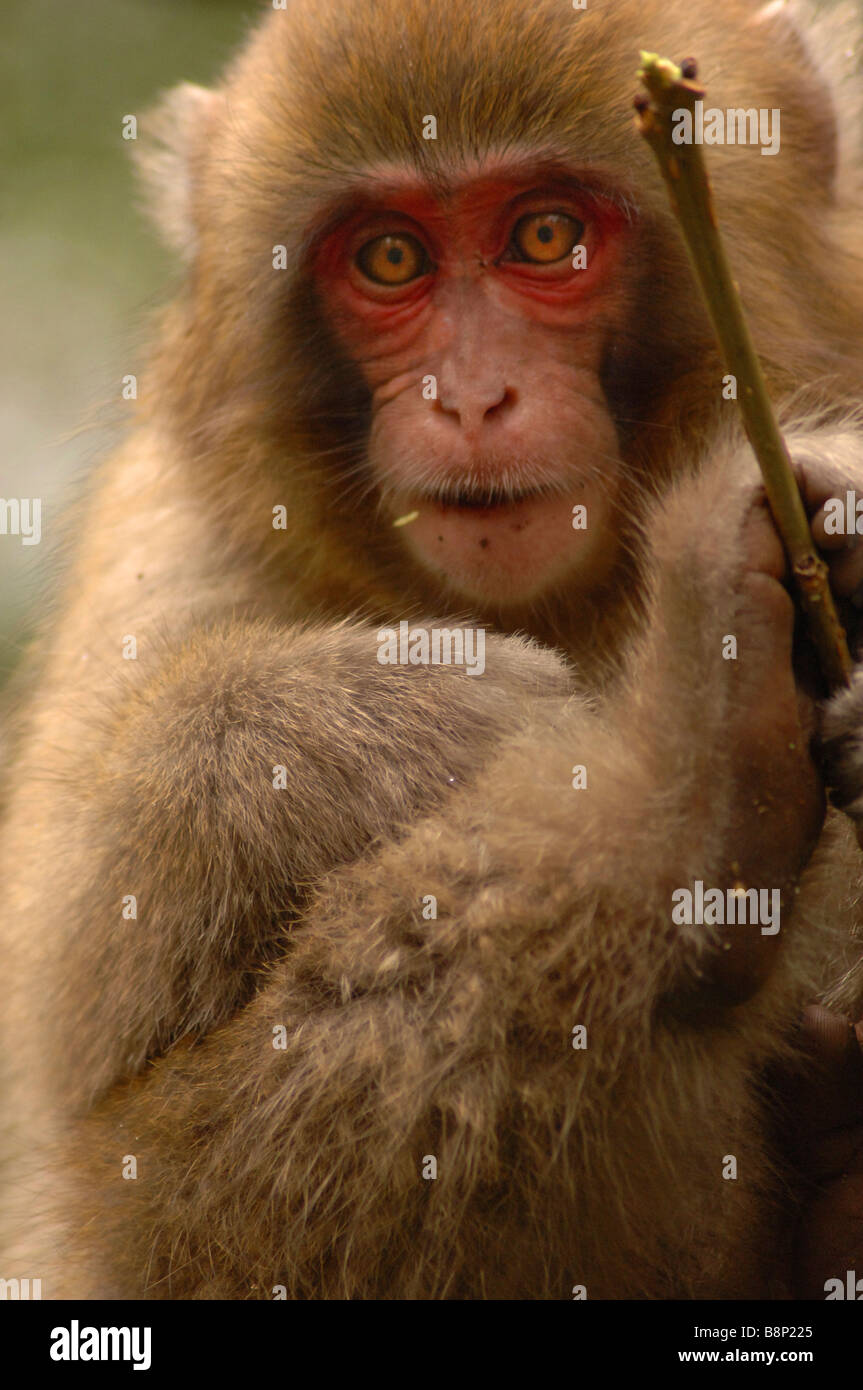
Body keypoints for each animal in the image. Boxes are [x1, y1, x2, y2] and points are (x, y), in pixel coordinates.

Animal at [2, 0, 863, 1300]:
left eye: (545, 235)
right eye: (390, 260)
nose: (466, 399)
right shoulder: (170, 552)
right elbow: (112, 1174)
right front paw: (388, 715)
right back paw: (706, 776)